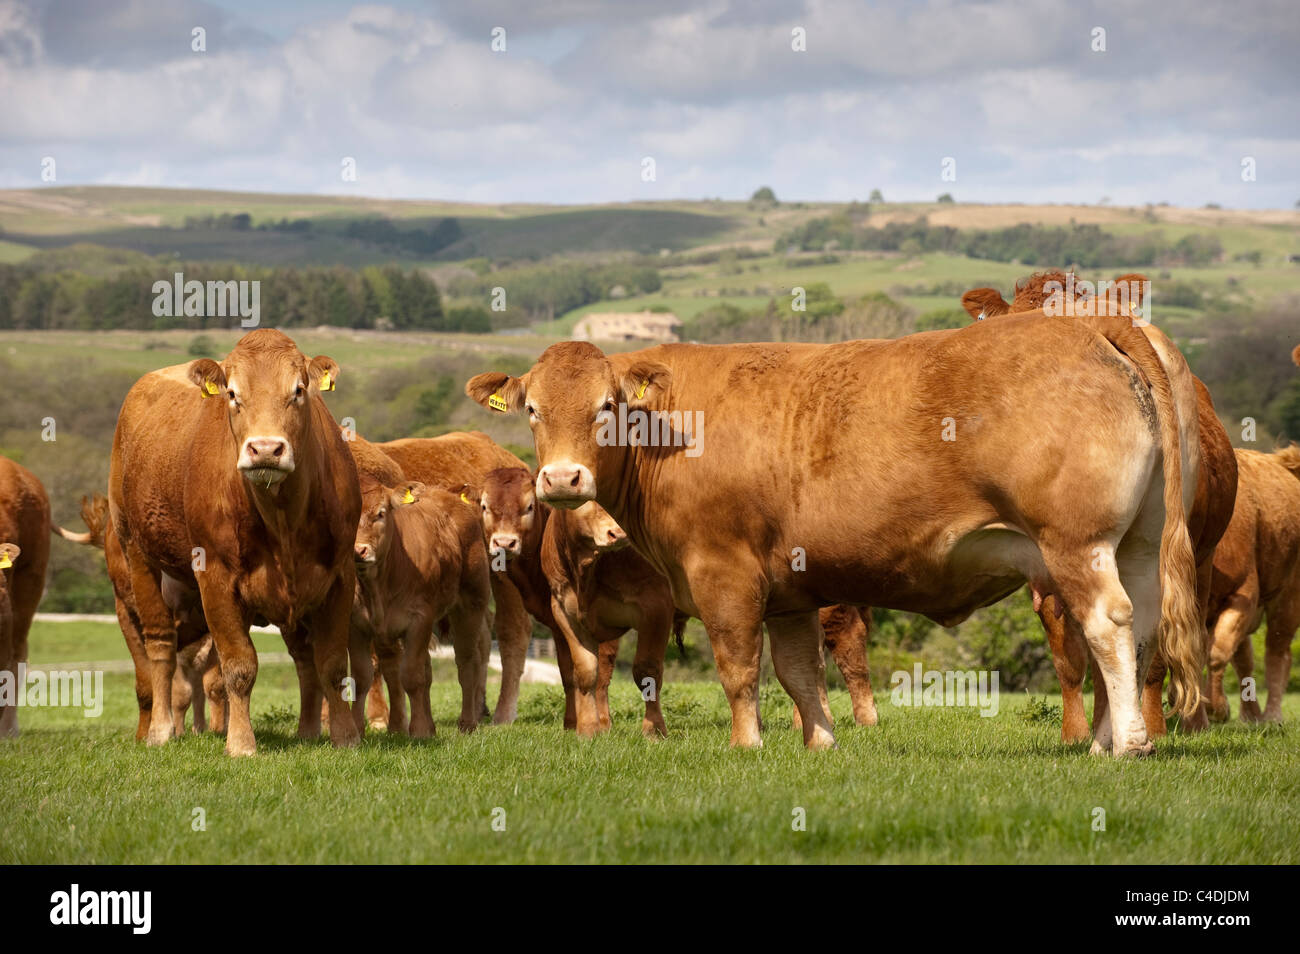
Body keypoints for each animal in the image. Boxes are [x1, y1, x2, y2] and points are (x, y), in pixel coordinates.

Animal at [109, 329, 361, 756]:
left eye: (298, 390)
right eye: (232, 393)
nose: (265, 450)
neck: (282, 517)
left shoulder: (339, 575)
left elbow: (330, 663)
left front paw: (345, 736)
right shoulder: (215, 576)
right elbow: (239, 666)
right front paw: (241, 743)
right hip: (136, 552)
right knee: (160, 646)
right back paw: (160, 730)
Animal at [351, 476, 493, 735]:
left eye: (381, 513)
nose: (359, 550)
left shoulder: (420, 620)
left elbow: (412, 675)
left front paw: (419, 731)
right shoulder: (356, 625)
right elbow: (365, 676)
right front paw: (361, 730)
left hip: (471, 604)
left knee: (466, 661)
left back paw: (467, 722)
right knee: (419, 669)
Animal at [467, 315, 1205, 757]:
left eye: (607, 407)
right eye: (533, 410)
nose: (562, 479)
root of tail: (1090, 321)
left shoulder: (722, 571)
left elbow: (739, 668)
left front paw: (746, 746)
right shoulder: (790, 589)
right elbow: (799, 673)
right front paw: (819, 744)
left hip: (1076, 542)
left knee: (1108, 624)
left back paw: (1125, 743)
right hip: (1134, 545)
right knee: (1136, 627)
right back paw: (1106, 739)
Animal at [960, 271, 1238, 740]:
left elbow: (1151, 657)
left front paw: (1151, 728)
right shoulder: (1046, 573)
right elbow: (1070, 657)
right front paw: (1075, 733)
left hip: (1197, 559)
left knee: (1190, 637)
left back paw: (1189, 721)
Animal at [1202, 446, 1300, 723]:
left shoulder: (1243, 594)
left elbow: (1217, 653)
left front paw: (1217, 708)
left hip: (1288, 598)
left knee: (1277, 654)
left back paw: (1272, 715)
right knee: (1245, 658)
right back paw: (1250, 715)